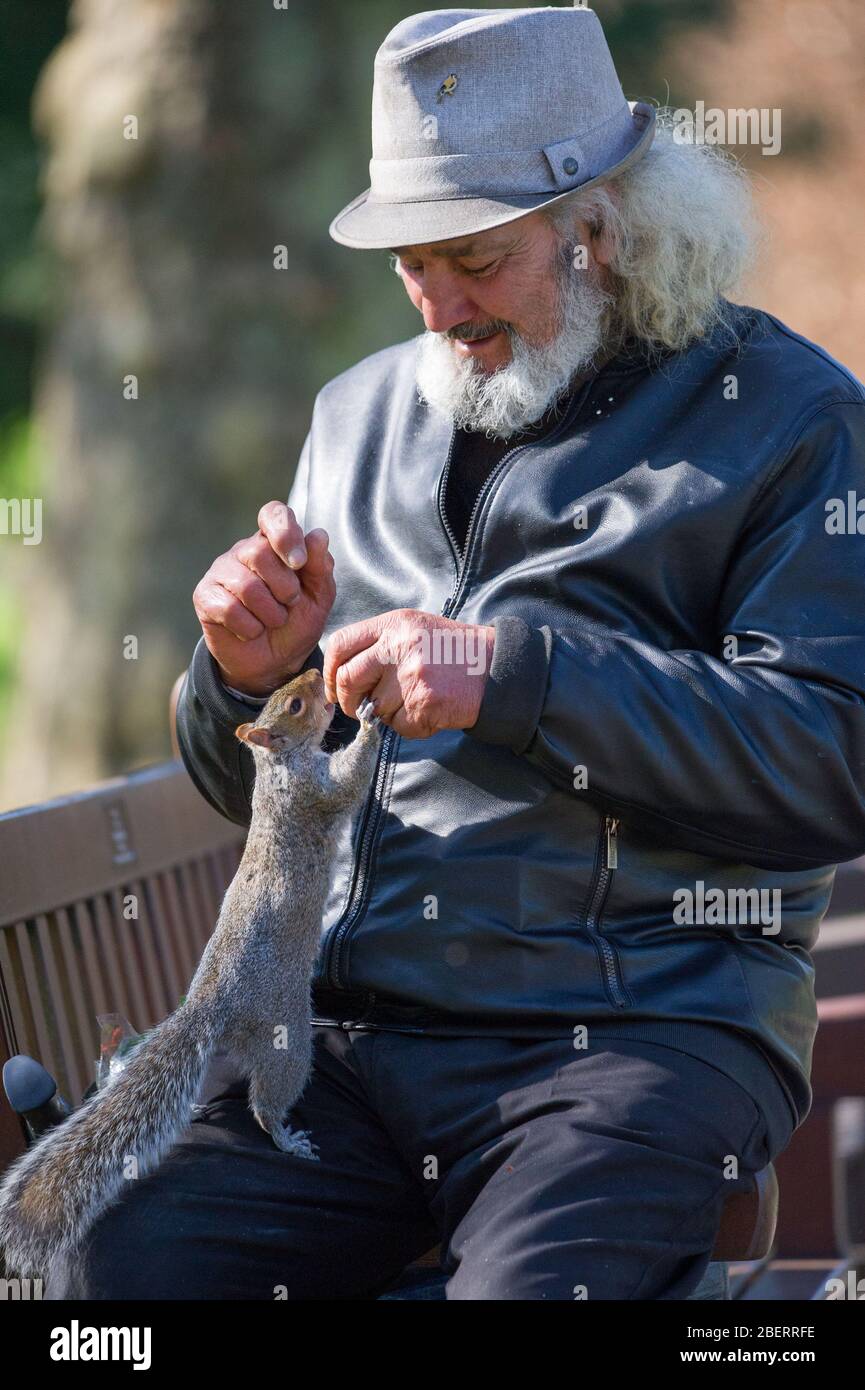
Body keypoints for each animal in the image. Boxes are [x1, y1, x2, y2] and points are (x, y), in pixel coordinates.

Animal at [0, 666, 382, 1278]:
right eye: (295, 706)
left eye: (293, 690)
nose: (316, 672)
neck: (278, 769)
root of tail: (210, 1006)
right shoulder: (313, 796)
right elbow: (349, 784)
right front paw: (372, 720)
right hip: (289, 1038)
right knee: (266, 1101)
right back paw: (286, 1137)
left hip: (227, 1054)